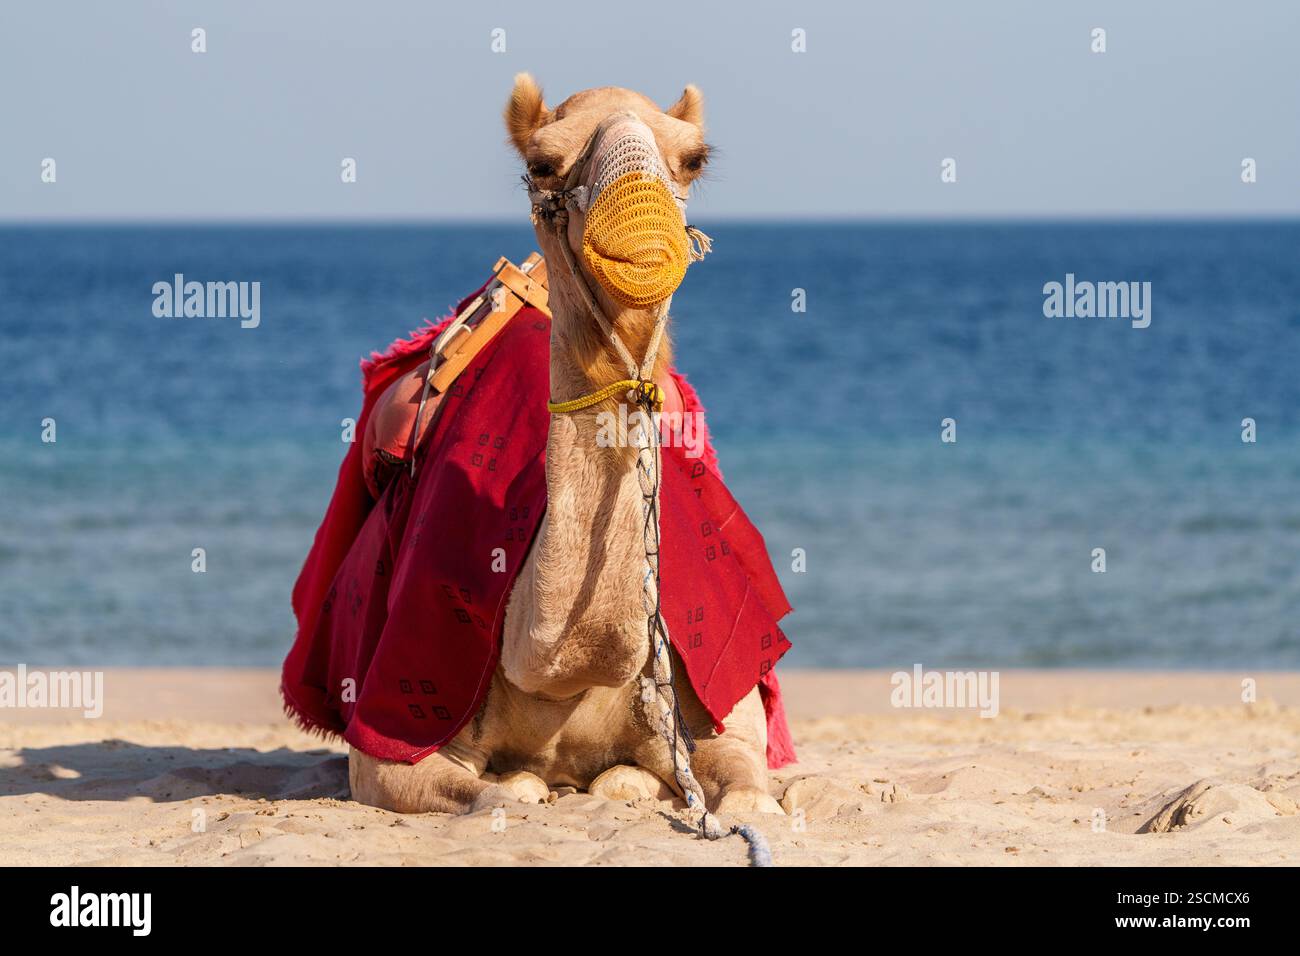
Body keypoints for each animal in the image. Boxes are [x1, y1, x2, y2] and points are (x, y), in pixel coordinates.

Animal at [347, 76, 784, 817]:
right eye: (543, 163)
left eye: (694, 158)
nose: (641, 237)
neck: (560, 671)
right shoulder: (389, 733)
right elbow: (503, 795)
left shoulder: (724, 716)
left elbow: (747, 794)